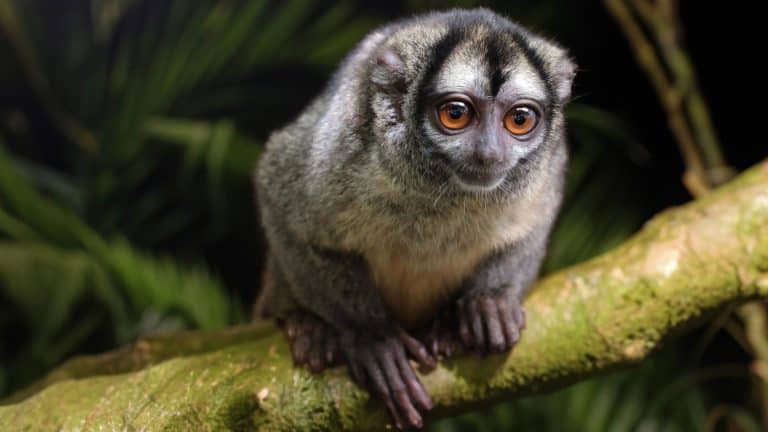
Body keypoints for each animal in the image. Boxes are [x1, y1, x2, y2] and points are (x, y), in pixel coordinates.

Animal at [253, 8, 575, 430]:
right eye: (455, 114)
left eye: (519, 119)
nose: (489, 154)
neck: (448, 191)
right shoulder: (337, 148)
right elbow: (281, 202)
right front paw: (372, 337)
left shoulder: (549, 167)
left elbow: (535, 225)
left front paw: (490, 301)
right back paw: (309, 330)